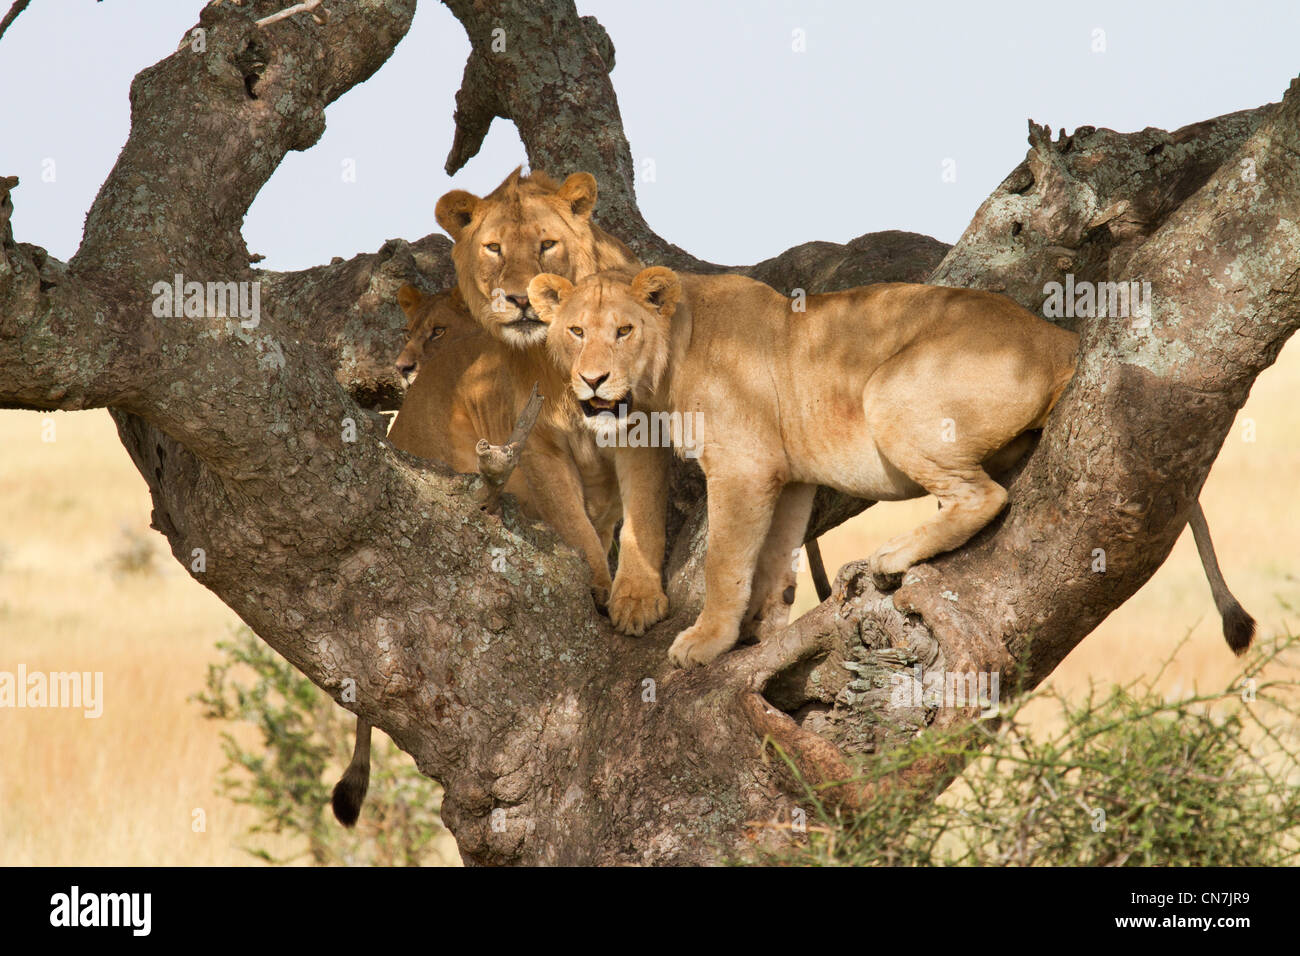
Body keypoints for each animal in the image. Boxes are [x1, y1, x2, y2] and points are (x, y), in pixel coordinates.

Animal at [528, 266, 1256, 669]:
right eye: (574, 331)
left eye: (623, 331)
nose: (592, 380)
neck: (672, 354)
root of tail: (1059, 337)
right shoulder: (788, 474)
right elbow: (774, 560)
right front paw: (762, 630)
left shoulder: (743, 466)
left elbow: (726, 562)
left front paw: (705, 642)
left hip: (889, 391)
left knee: (983, 497)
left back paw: (893, 555)